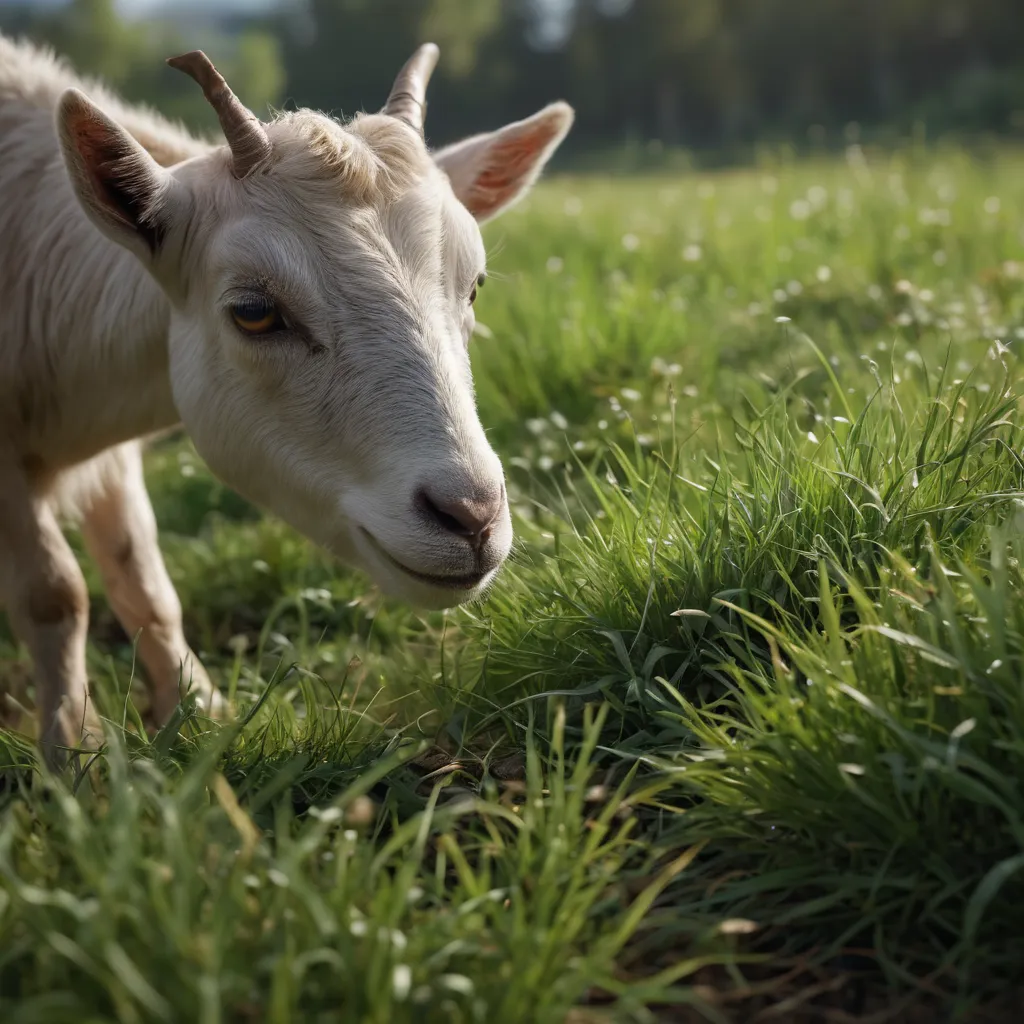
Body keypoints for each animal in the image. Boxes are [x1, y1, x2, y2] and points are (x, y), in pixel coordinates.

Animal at [0, 34, 574, 764]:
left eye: (473, 286)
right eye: (253, 311)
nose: (471, 518)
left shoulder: (109, 460)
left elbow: (144, 583)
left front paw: (201, 714)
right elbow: (56, 596)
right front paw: (75, 755)